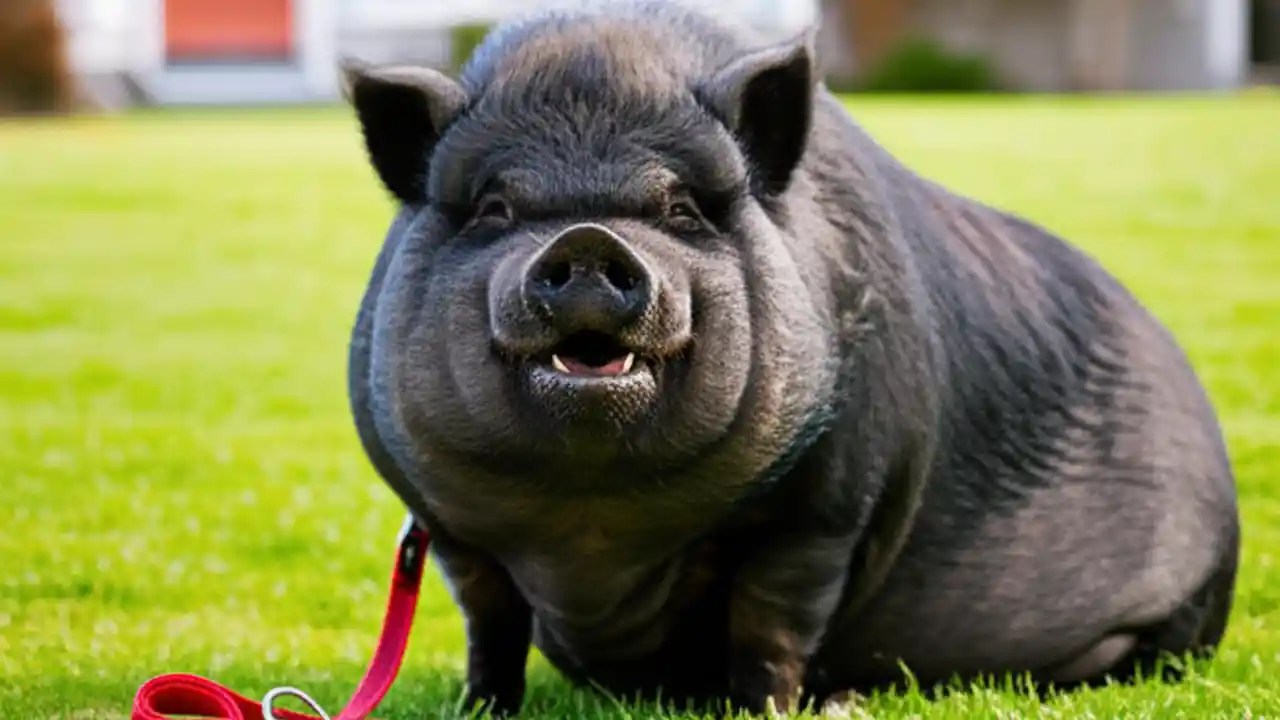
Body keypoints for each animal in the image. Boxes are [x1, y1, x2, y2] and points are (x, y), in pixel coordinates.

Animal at [342, 1, 1240, 715]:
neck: (589, 536)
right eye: (495, 207)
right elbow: (490, 625)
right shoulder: (450, 531)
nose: (587, 240)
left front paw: (764, 710)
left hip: (1172, 614)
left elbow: (771, 625)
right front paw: (477, 709)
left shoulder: (827, 509)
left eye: (679, 206)